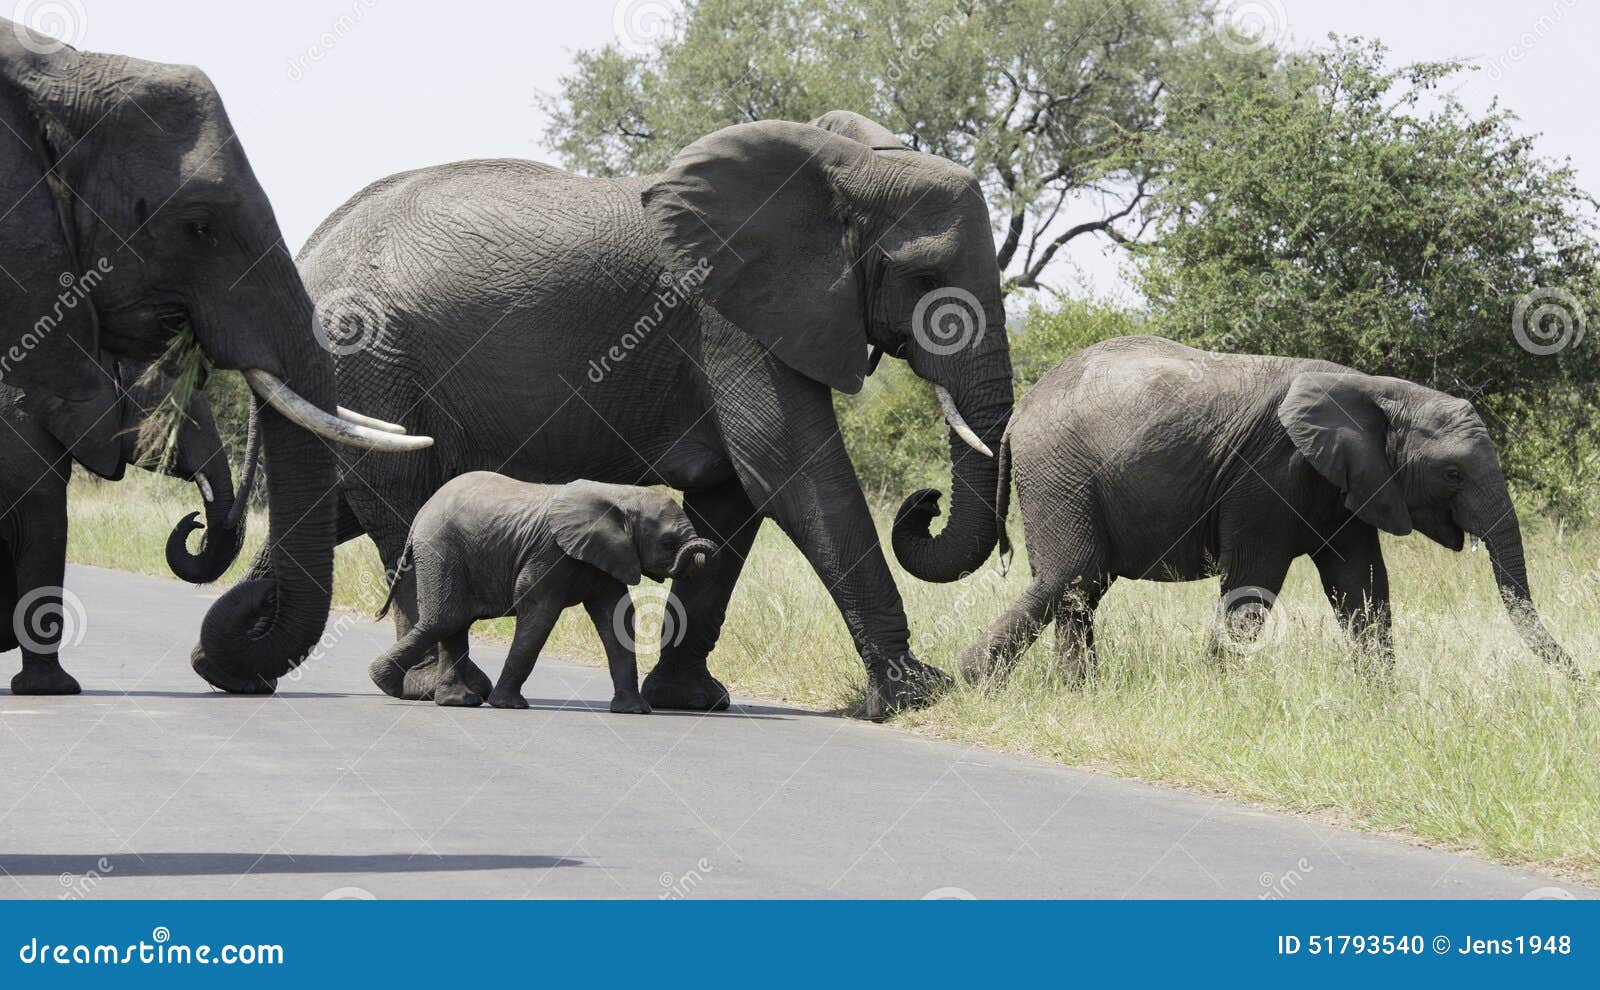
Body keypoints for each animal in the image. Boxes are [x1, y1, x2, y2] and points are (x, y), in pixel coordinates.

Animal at [368, 473, 717, 712]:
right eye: (668, 543)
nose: (709, 551)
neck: (619, 495)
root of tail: (419, 516)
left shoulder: (608, 557)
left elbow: (616, 618)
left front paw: (634, 711)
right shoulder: (550, 553)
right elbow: (539, 613)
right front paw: (508, 705)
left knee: (454, 621)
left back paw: (457, 701)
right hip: (441, 549)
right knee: (446, 618)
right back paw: (383, 681)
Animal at [959, 336, 1574, 681]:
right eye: (1452, 474)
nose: (1578, 680)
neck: (1380, 390)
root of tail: (1018, 416)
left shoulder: (1348, 485)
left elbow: (1362, 586)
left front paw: (1380, 704)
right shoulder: (1268, 475)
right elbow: (1253, 582)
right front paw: (1218, 695)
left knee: (1077, 585)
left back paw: (1071, 691)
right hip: (1059, 473)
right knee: (1074, 575)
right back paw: (969, 682)